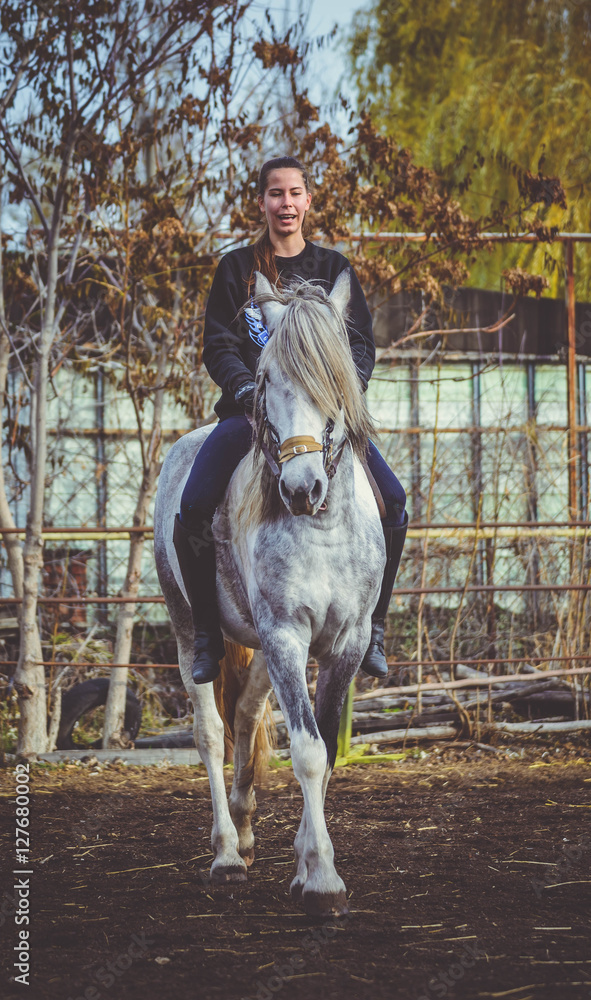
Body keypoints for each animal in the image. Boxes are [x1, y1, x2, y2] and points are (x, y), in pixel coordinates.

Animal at [153, 270, 385, 918]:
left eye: (335, 382)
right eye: (263, 383)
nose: (302, 489)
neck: (323, 529)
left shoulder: (345, 644)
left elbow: (324, 752)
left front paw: (306, 865)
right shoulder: (286, 634)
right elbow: (307, 751)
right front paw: (322, 879)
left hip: (257, 647)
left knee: (246, 716)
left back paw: (246, 828)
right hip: (190, 630)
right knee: (211, 732)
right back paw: (227, 854)